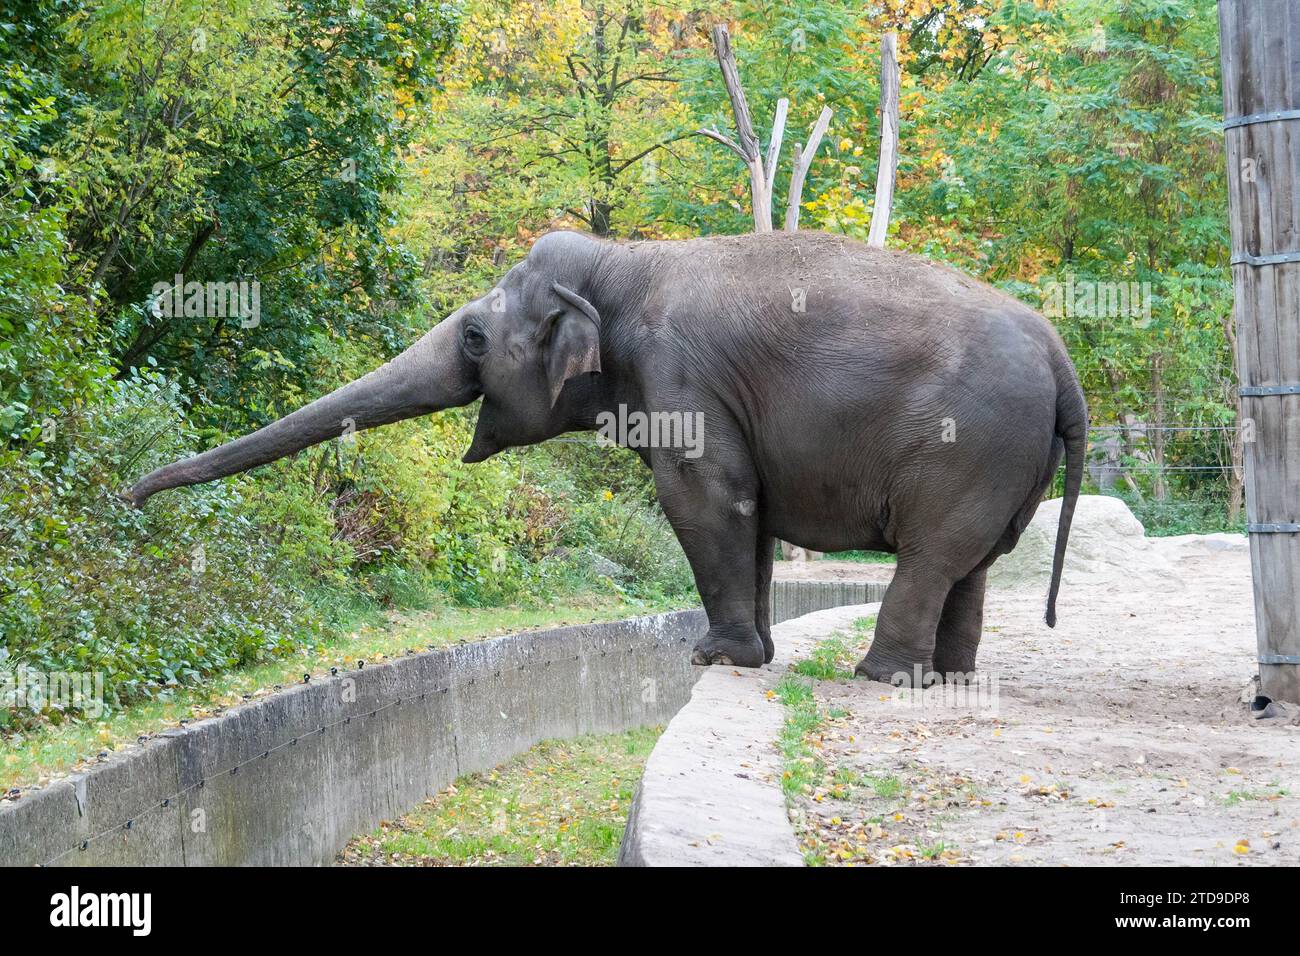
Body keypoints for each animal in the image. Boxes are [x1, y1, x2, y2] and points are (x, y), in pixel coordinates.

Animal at [126, 229, 1087, 684]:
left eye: (474, 337)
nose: (129, 499)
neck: (625, 264)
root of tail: (1062, 359)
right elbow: (747, 507)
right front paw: (750, 656)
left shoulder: (680, 375)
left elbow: (704, 496)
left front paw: (713, 661)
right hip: (1002, 459)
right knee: (968, 562)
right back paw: (948, 678)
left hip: (969, 446)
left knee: (930, 555)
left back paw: (882, 676)